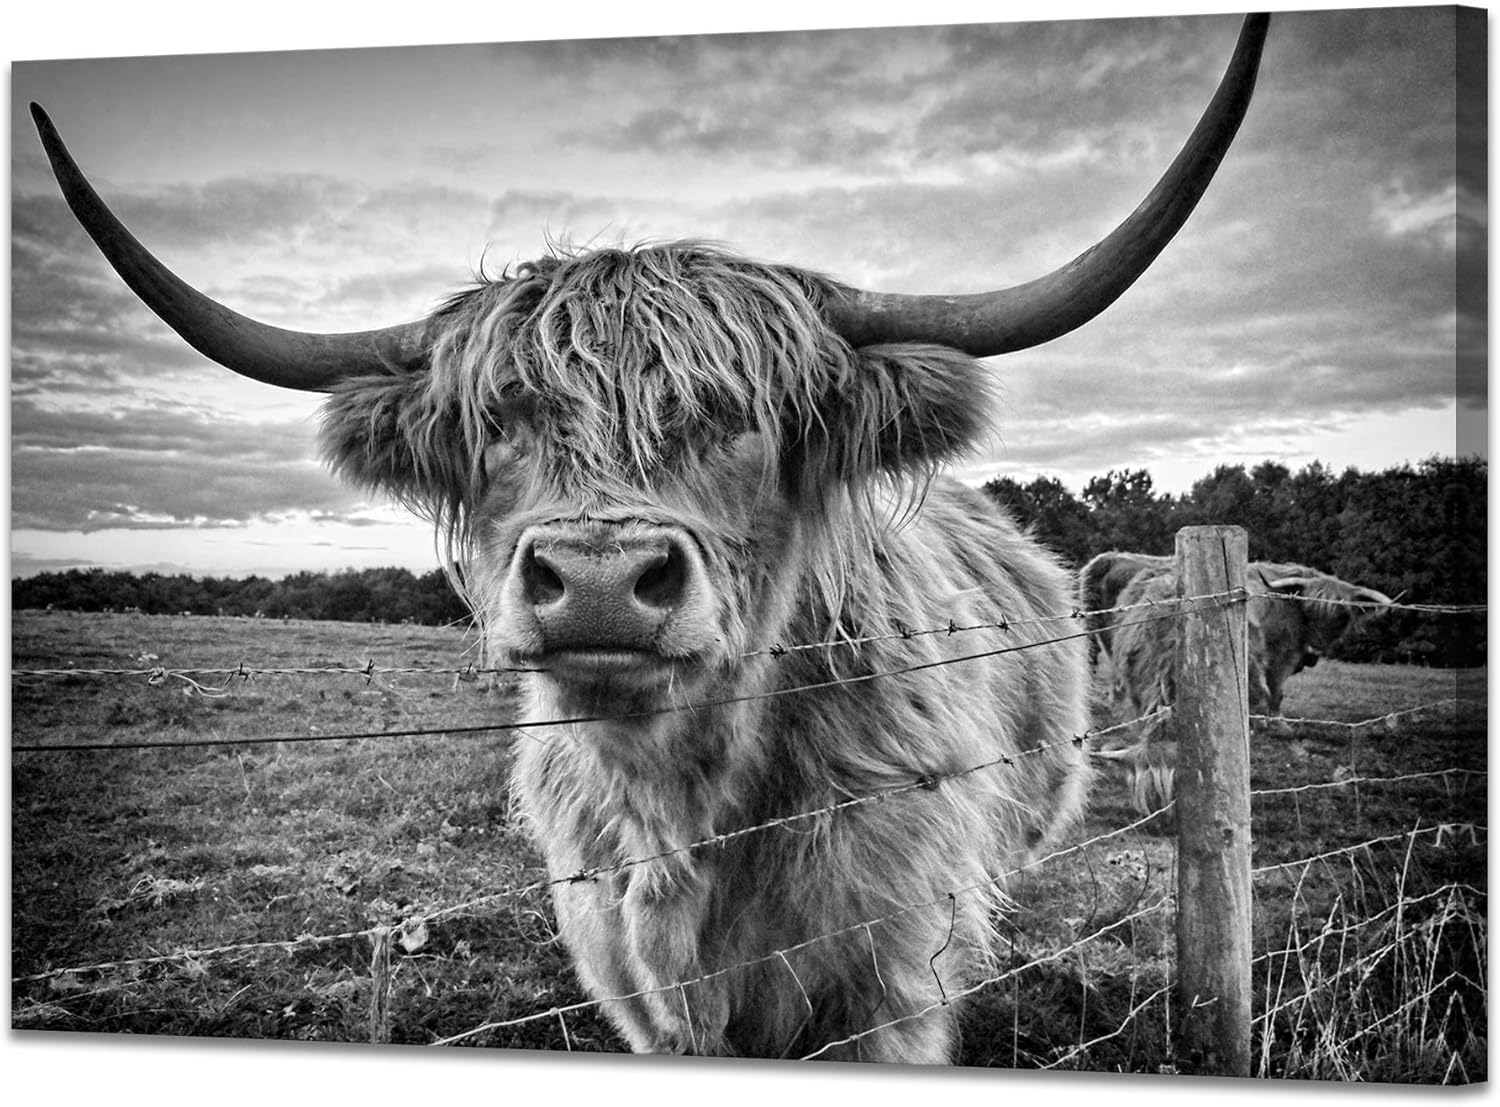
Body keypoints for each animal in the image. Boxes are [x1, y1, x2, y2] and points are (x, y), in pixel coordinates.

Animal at [31, 14, 1268, 1063]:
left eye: (742, 421)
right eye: (499, 424)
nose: (598, 581)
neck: (679, 812)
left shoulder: (894, 986)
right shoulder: (633, 989)